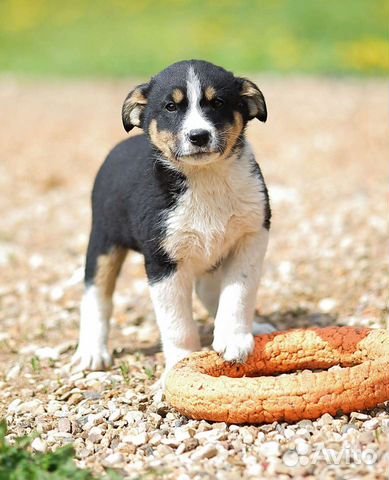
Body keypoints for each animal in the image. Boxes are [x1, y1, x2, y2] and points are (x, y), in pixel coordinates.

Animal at [71, 60, 272, 376]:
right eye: (170, 107)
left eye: (218, 103)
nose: (199, 136)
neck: (206, 179)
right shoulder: (162, 261)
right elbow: (178, 325)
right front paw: (181, 362)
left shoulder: (252, 235)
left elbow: (238, 294)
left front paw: (234, 338)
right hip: (103, 241)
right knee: (97, 296)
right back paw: (92, 351)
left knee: (208, 289)